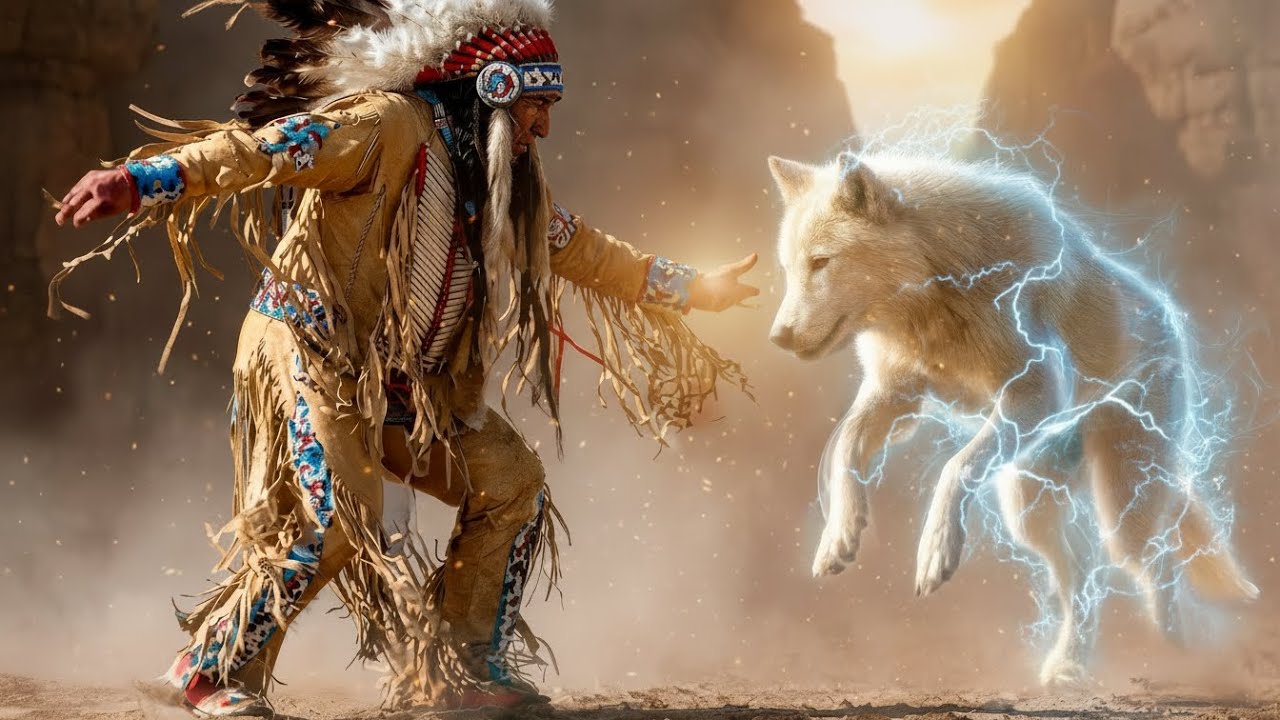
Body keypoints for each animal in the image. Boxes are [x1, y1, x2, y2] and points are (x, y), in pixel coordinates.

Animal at [767, 151, 1259, 685]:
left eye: (821, 261)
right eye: (789, 268)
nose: (778, 337)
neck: (937, 290)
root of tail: (1170, 317)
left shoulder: (1038, 392)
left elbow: (954, 466)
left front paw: (936, 551)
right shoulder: (896, 397)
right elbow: (844, 448)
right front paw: (839, 536)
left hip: (1124, 510)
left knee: (1159, 566)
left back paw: (1176, 653)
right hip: (1027, 506)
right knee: (1083, 572)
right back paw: (1068, 666)